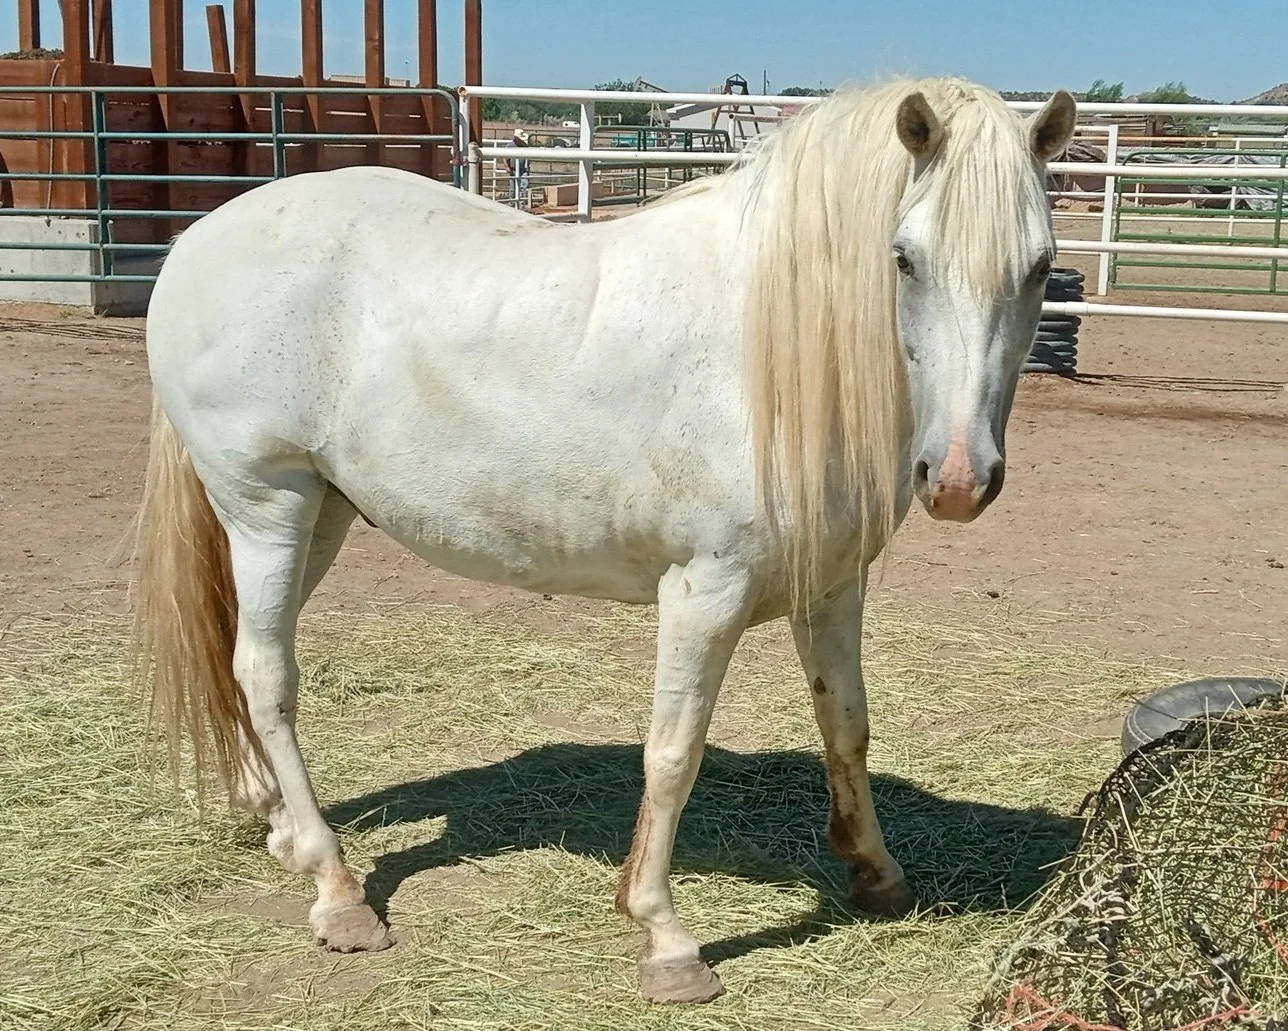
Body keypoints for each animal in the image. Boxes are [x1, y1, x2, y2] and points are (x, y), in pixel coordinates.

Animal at [131, 76, 1075, 1005]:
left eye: (1039, 266)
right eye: (905, 257)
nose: (959, 479)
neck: (766, 352)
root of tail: (198, 241)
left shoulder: (834, 584)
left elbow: (847, 725)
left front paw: (877, 874)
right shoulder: (703, 592)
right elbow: (673, 753)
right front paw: (664, 938)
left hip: (320, 516)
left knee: (248, 659)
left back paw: (286, 832)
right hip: (269, 506)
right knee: (267, 674)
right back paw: (337, 892)